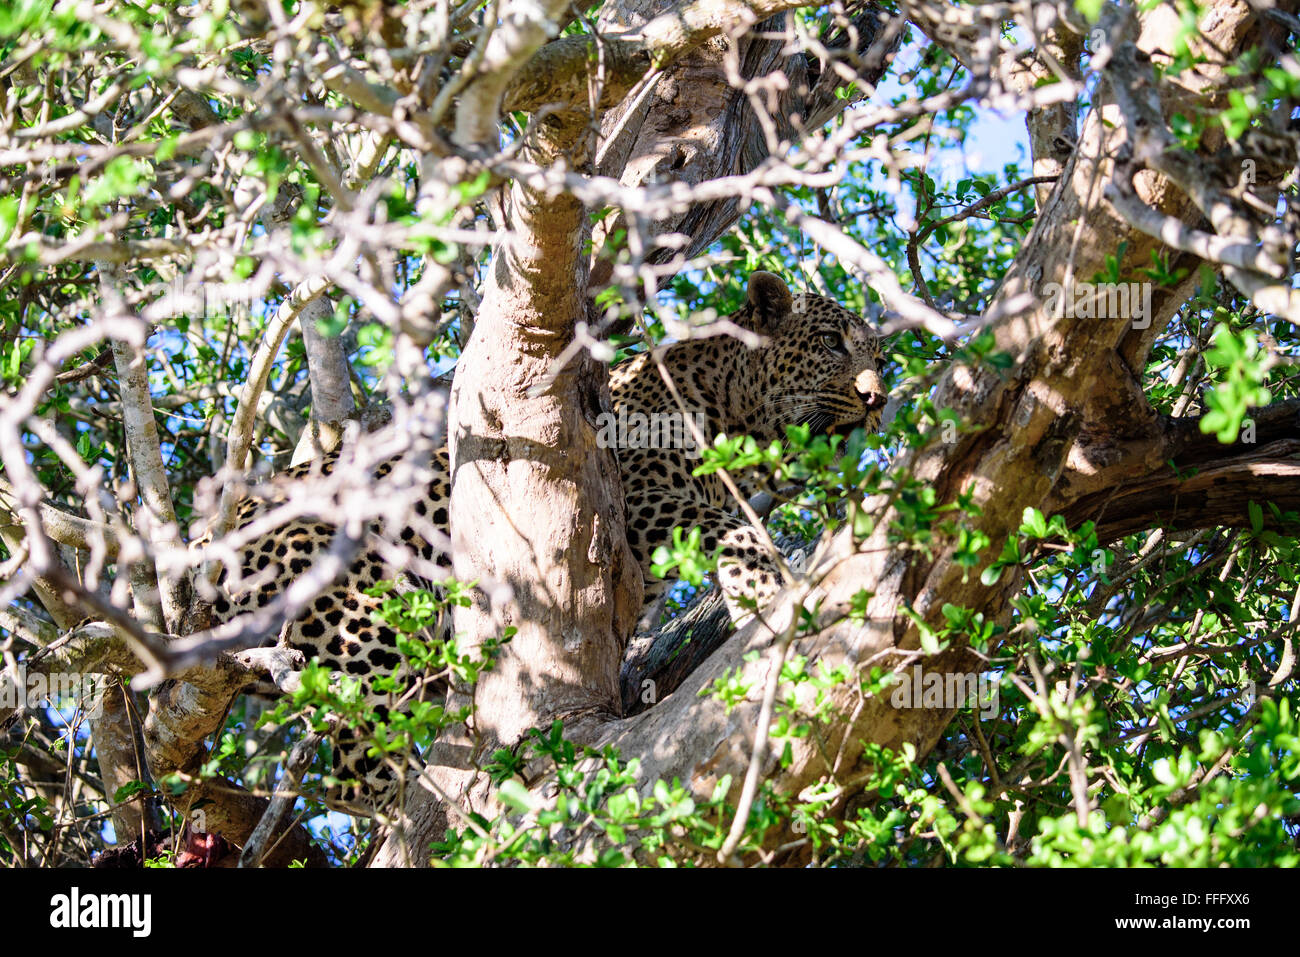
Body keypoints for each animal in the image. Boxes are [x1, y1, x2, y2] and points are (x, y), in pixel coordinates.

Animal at [206, 271, 886, 813]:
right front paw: (767, 585)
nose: (877, 398)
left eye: (882, 356)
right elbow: (731, 526)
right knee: (358, 772)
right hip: (366, 605)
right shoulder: (632, 497)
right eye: (831, 343)